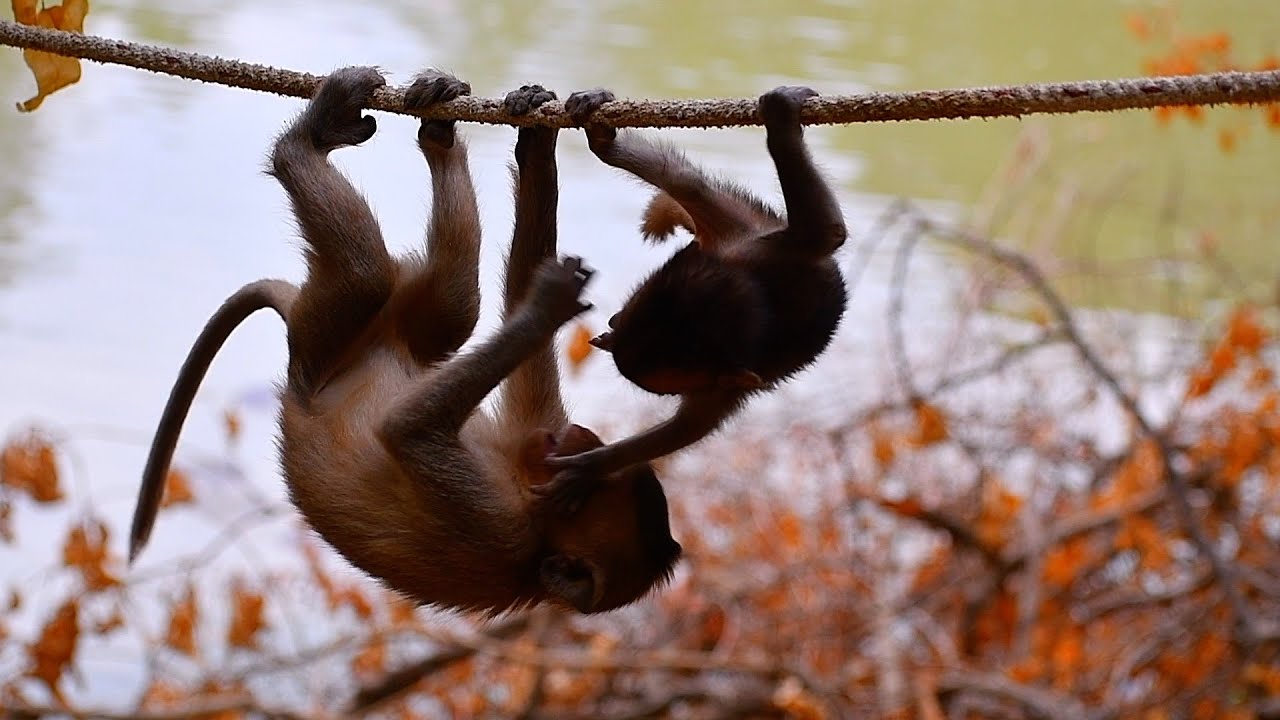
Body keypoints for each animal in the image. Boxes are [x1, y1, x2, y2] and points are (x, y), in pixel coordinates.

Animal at [128, 68, 682, 616]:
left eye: (590, 480)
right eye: (591, 454)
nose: (573, 438)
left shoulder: (503, 525)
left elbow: (407, 432)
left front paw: (549, 306)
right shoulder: (534, 434)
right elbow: (521, 286)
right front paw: (538, 141)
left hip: (321, 355)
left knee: (366, 277)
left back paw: (307, 141)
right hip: (394, 325)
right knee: (454, 310)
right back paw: (434, 135)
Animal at [536, 85, 848, 512]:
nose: (615, 324)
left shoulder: (728, 377)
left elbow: (688, 428)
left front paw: (593, 466)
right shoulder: (757, 254)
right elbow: (823, 233)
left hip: (743, 233)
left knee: (690, 185)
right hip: (740, 233)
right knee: (686, 183)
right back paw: (605, 139)